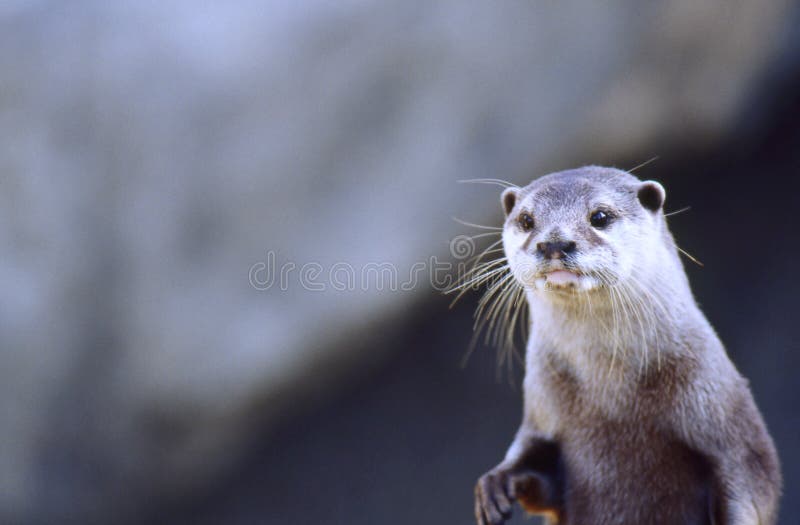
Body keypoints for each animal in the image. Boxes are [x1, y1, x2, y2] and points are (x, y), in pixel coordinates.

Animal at [470, 167, 781, 524]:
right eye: (526, 219)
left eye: (600, 216)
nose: (554, 243)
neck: (611, 396)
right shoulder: (542, 412)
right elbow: (535, 466)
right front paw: (496, 483)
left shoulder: (733, 434)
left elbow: (751, 485)